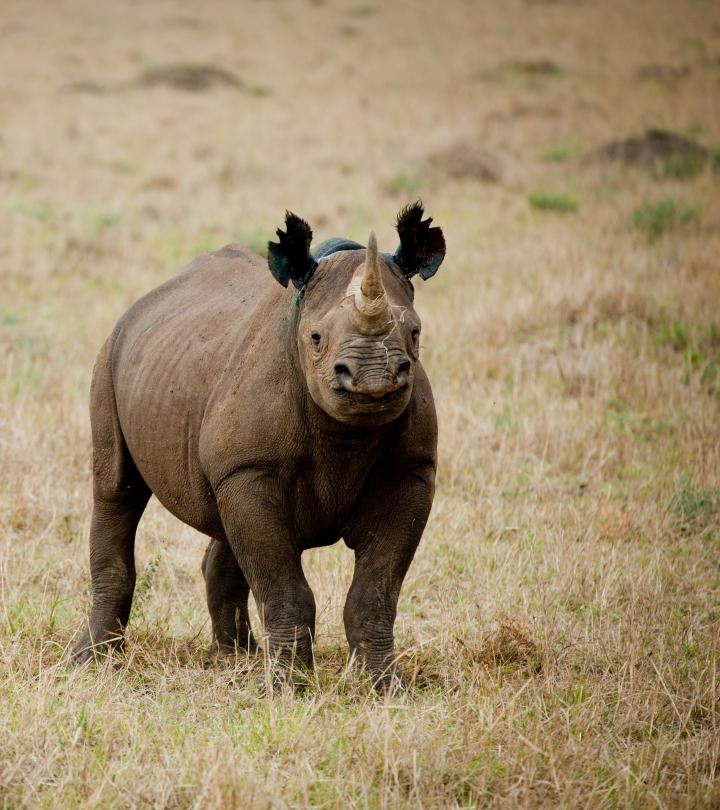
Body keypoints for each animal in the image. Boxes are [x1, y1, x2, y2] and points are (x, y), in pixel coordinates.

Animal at [73, 201, 446, 689]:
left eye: (416, 334)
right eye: (315, 339)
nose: (374, 379)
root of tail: (144, 301)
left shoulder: (411, 472)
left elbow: (375, 592)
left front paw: (386, 687)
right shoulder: (251, 468)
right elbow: (285, 589)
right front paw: (288, 689)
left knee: (221, 522)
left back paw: (237, 658)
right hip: (109, 359)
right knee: (117, 488)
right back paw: (92, 661)